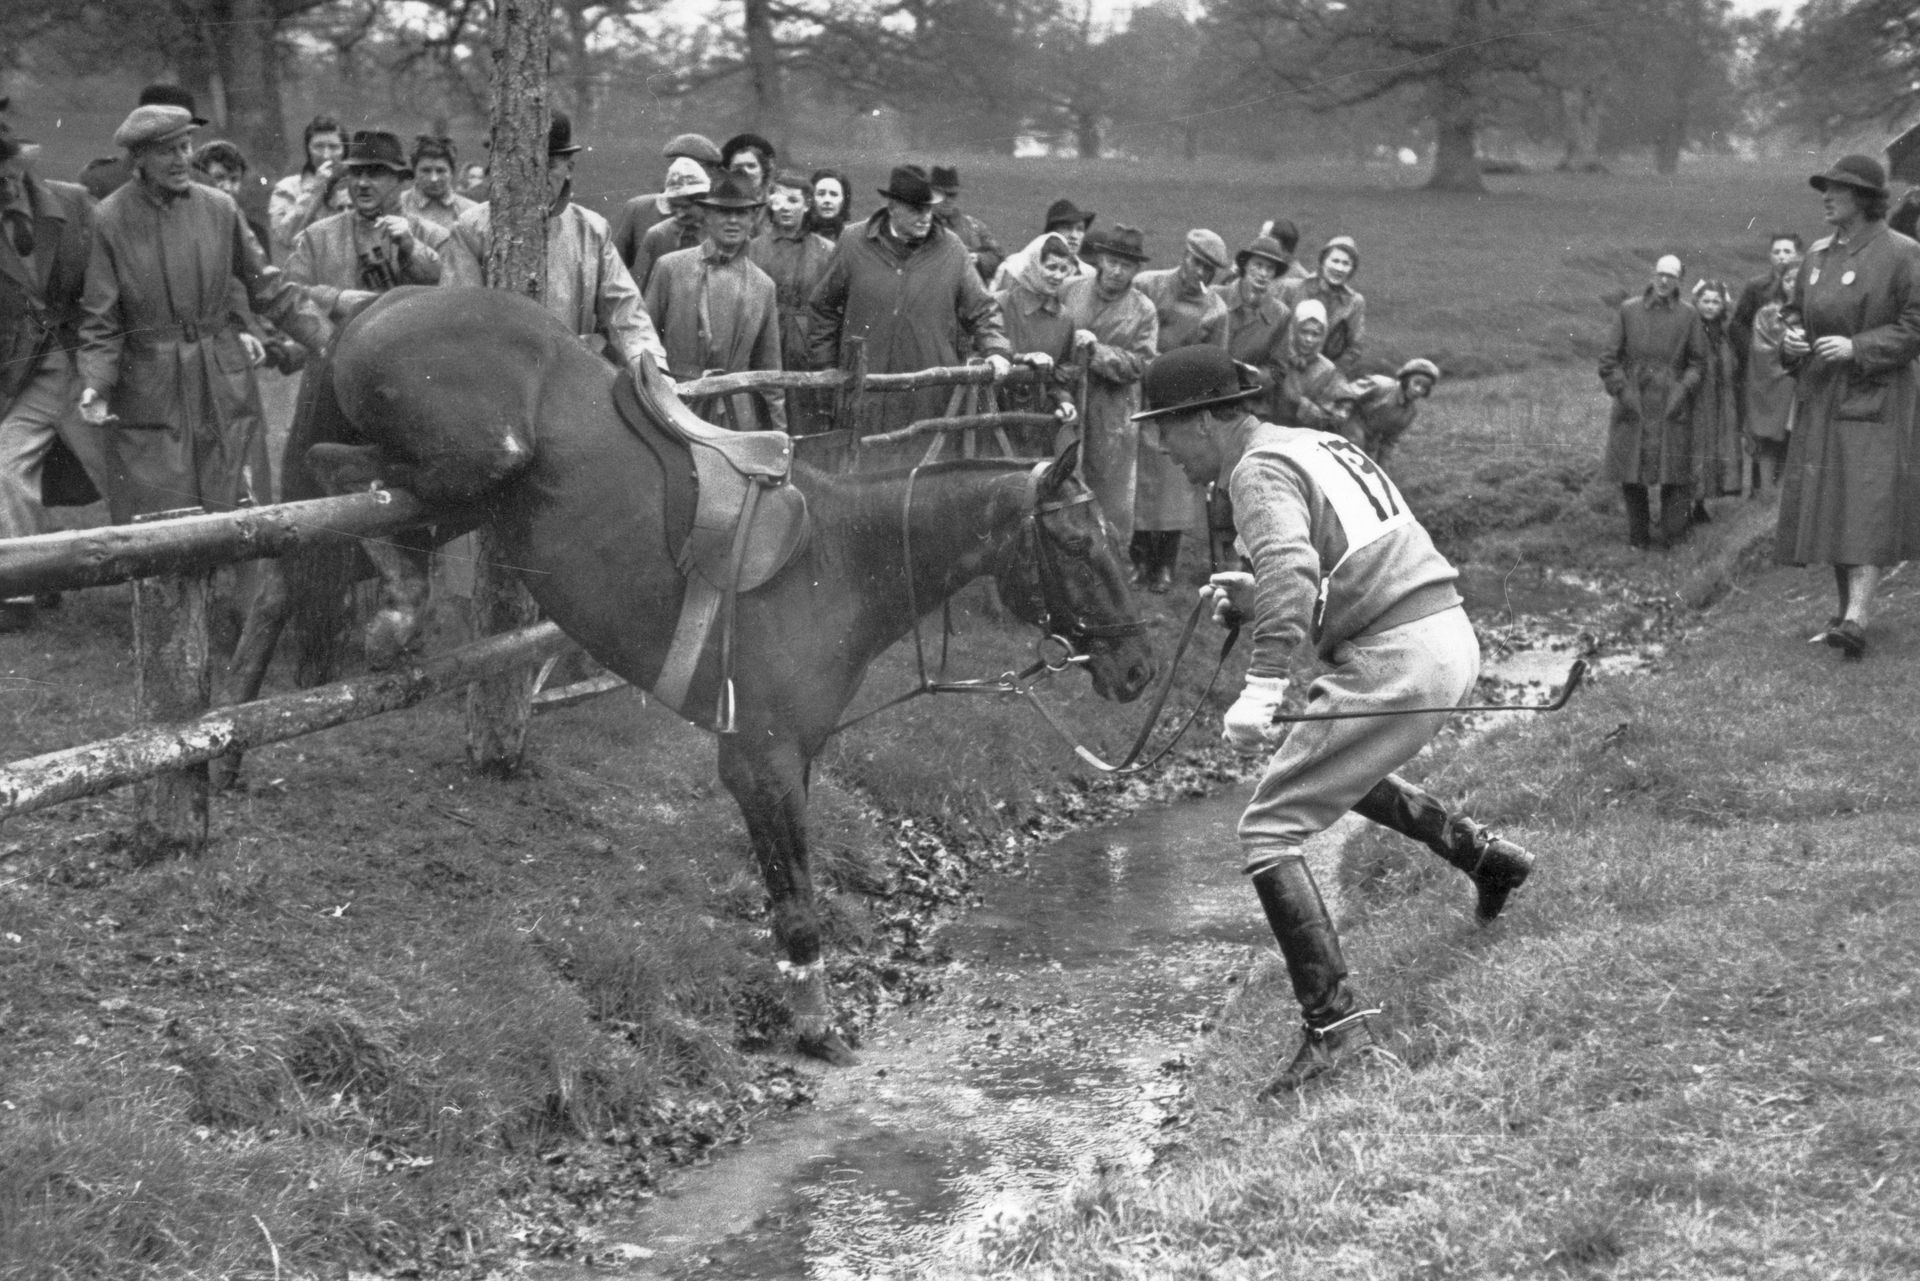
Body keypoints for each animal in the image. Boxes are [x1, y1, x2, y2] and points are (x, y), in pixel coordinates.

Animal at [275, 286, 1156, 1063]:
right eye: (1076, 543)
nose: (1139, 667)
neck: (840, 562)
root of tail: (387, 299)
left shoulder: (793, 759)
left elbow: (793, 892)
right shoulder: (759, 761)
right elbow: (798, 908)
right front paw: (815, 1028)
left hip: (481, 498)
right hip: (483, 459)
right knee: (342, 474)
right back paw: (397, 604)